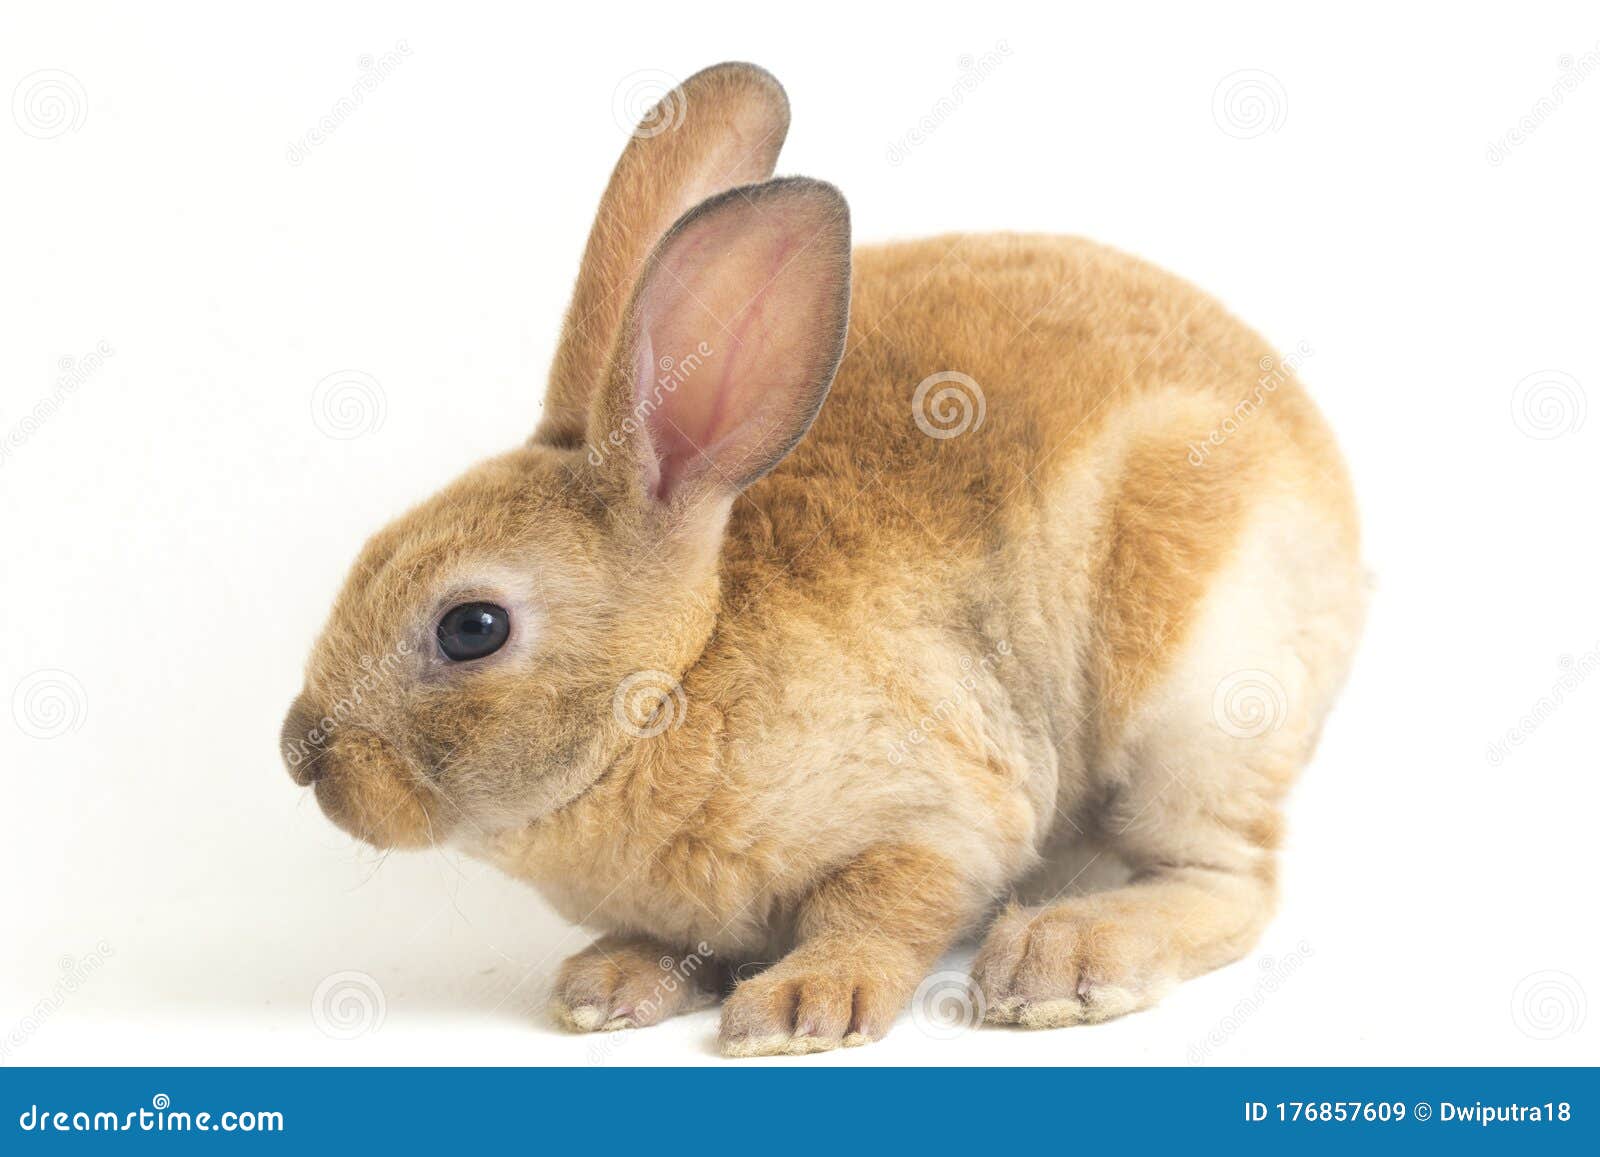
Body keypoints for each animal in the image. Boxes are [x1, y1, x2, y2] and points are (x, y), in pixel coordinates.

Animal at [280, 61, 1365, 1057]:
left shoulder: (940, 817)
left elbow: (883, 907)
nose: (302, 754)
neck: (672, 685)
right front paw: (606, 987)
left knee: (1226, 878)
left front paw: (804, 1005)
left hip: (1202, 695)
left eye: (472, 627)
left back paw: (1059, 960)